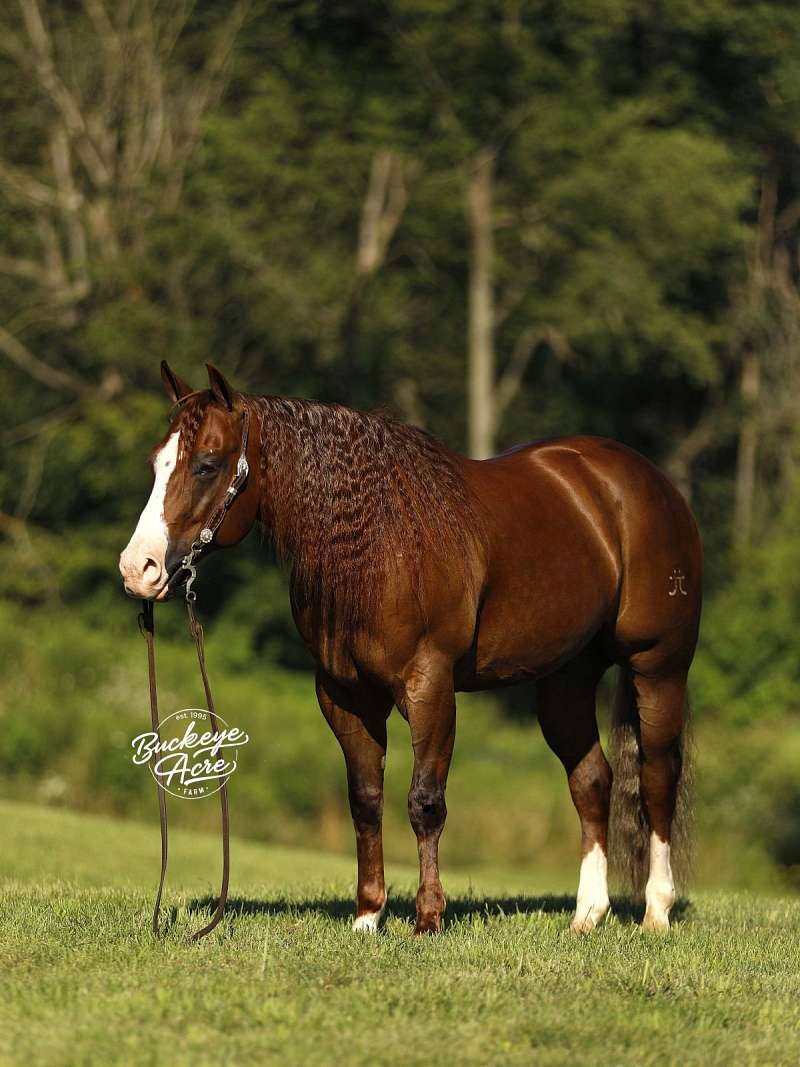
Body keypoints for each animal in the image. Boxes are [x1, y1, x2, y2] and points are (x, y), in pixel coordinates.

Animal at [120, 362, 702, 936]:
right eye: (155, 463)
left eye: (207, 465)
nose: (137, 569)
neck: (382, 545)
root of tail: (647, 482)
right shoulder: (345, 696)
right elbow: (365, 800)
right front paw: (367, 916)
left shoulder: (430, 689)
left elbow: (425, 802)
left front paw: (427, 918)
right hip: (567, 679)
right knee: (592, 780)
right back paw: (587, 915)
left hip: (658, 667)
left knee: (656, 778)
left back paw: (656, 912)